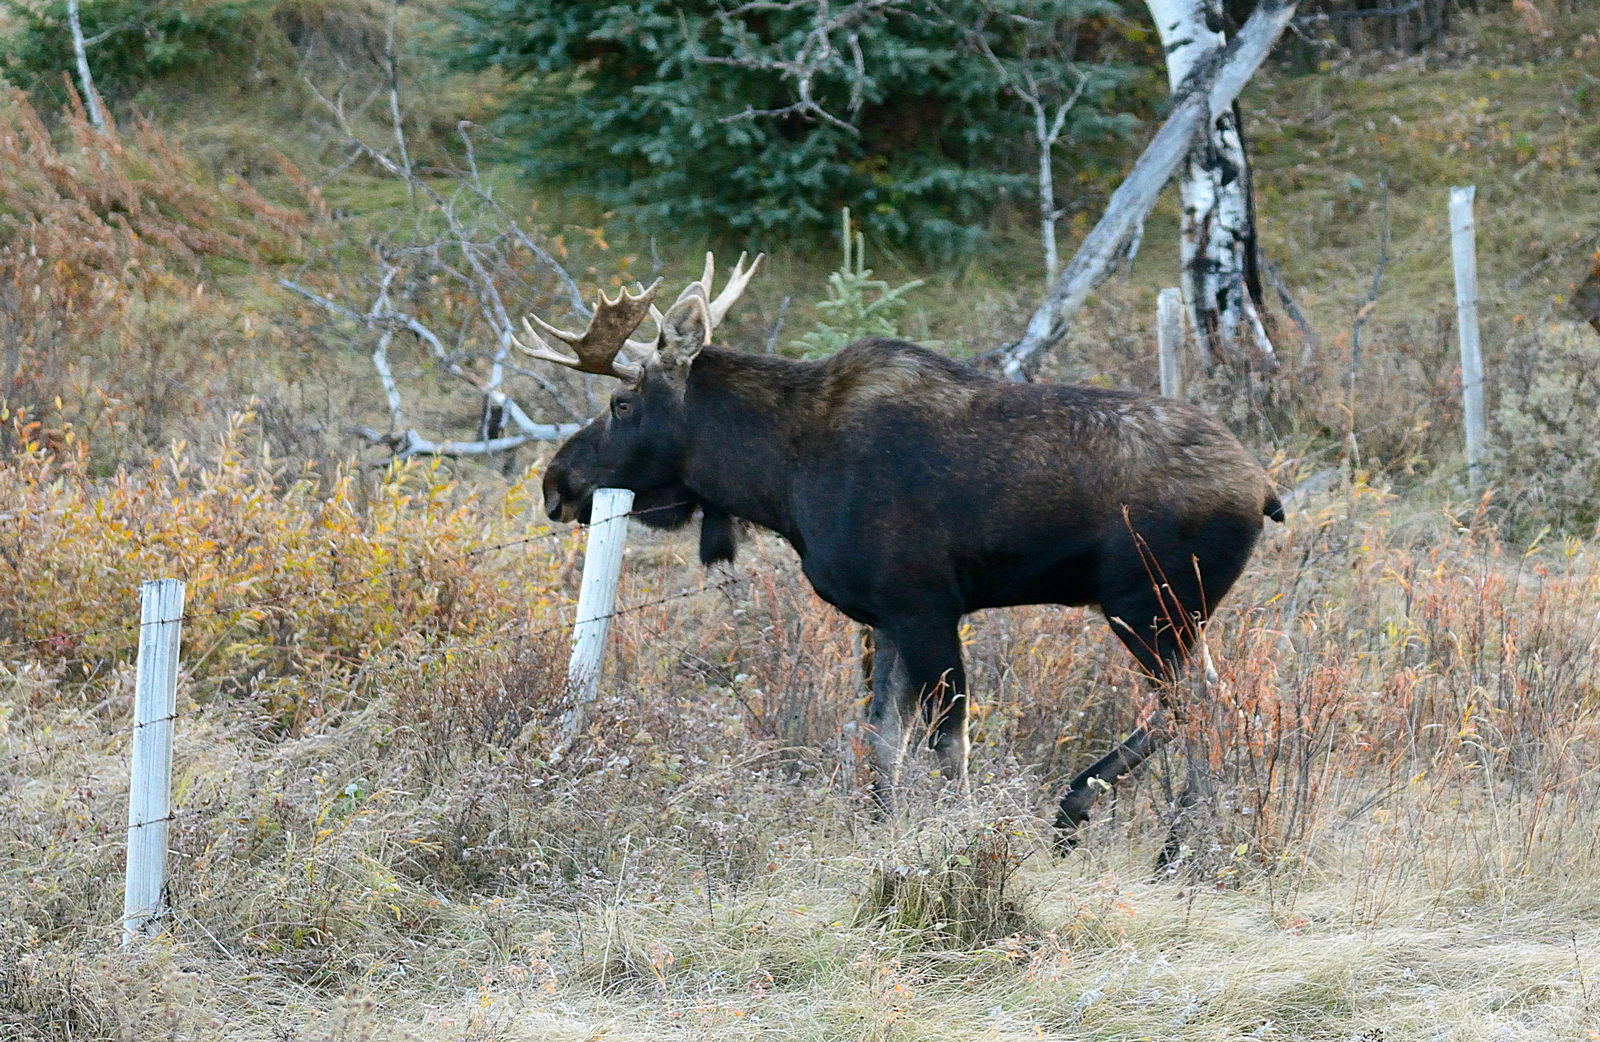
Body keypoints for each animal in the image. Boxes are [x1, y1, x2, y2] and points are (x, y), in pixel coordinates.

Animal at [521, 254, 1283, 853]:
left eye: (622, 404)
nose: (557, 483)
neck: (778, 478)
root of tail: (1264, 491)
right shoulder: (882, 617)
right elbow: (881, 740)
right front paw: (880, 830)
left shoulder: (926, 608)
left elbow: (948, 743)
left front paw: (965, 840)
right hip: (1176, 614)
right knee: (1213, 700)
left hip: (1149, 605)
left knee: (1198, 707)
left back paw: (1151, 838)